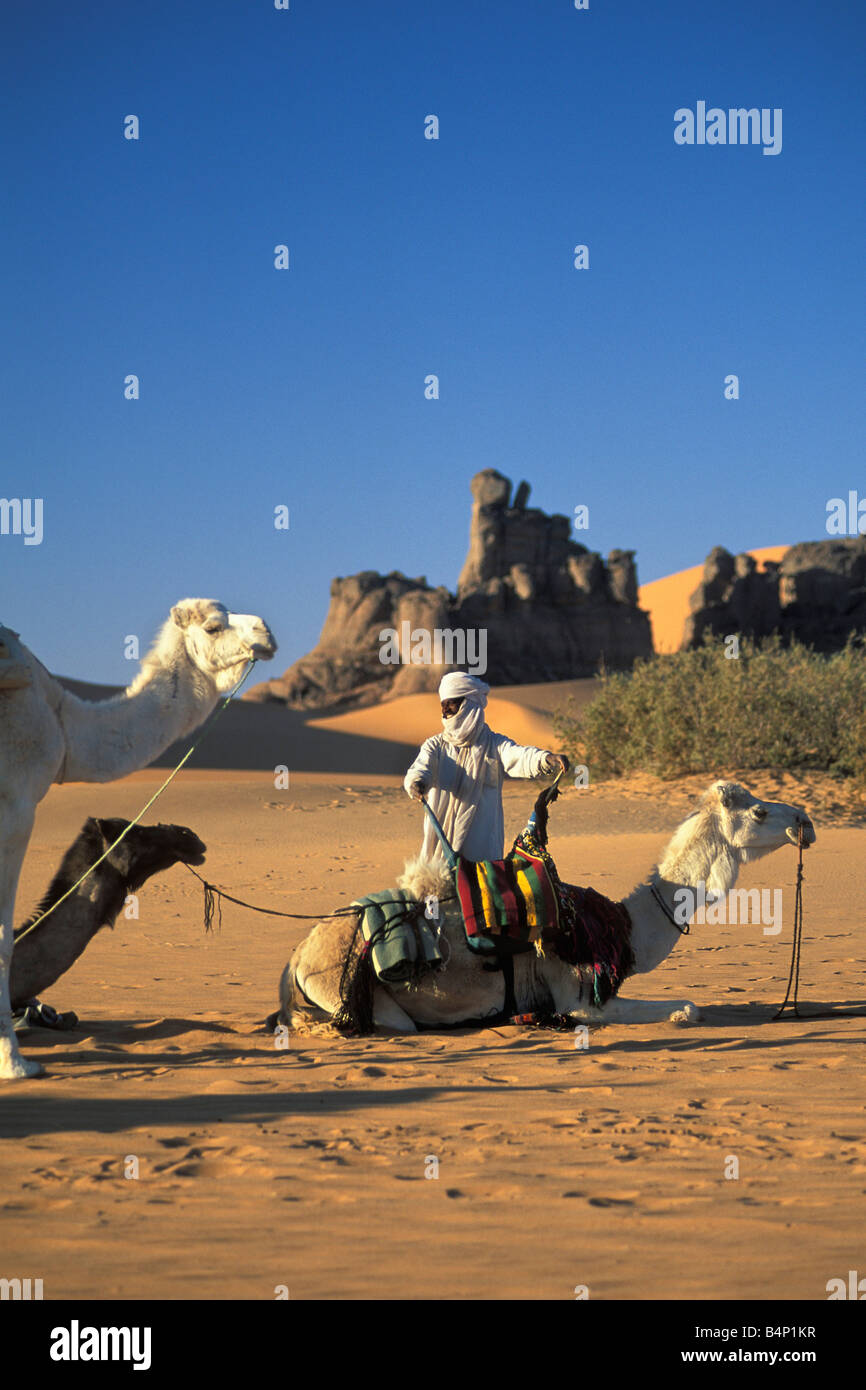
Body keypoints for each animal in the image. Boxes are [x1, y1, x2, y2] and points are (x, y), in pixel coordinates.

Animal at [276, 781, 815, 1033]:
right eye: (760, 811)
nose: (805, 821)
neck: (622, 926)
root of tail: (296, 958)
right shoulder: (579, 994)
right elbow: (689, 1008)